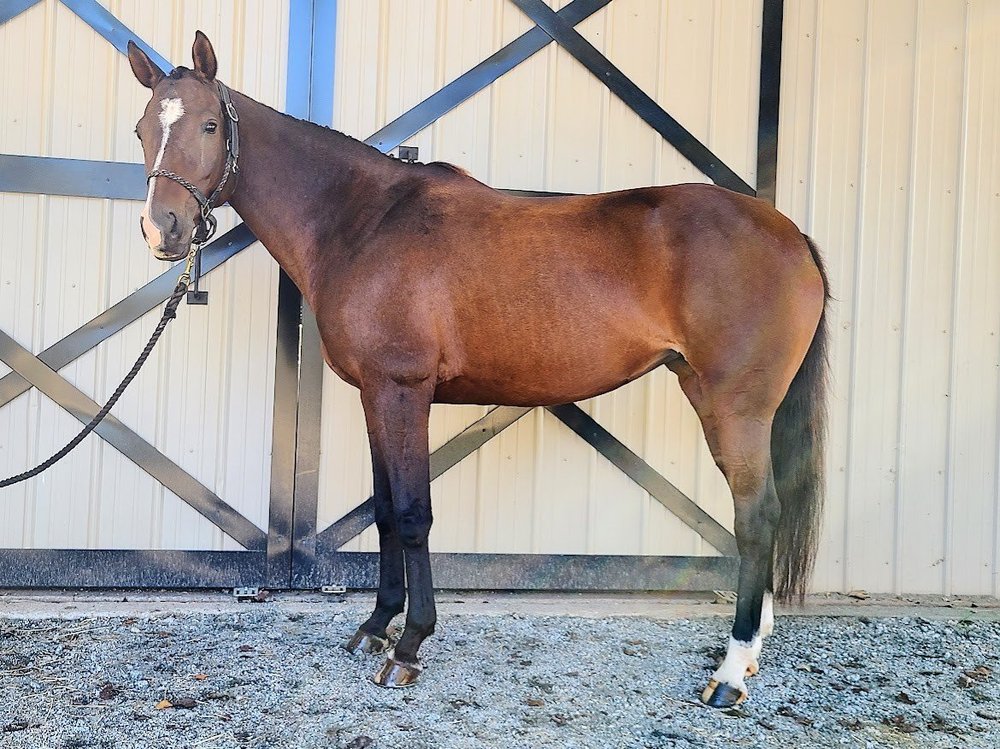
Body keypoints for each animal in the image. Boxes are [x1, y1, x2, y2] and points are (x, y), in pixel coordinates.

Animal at [127, 32, 828, 708]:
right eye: (141, 128)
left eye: (210, 125)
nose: (163, 229)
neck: (362, 220)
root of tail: (790, 233)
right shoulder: (375, 396)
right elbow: (386, 511)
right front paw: (375, 626)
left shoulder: (403, 391)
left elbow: (413, 514)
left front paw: (409, 645)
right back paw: (751, 650)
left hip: (733, 407)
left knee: (757, 515)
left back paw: (731, 672)